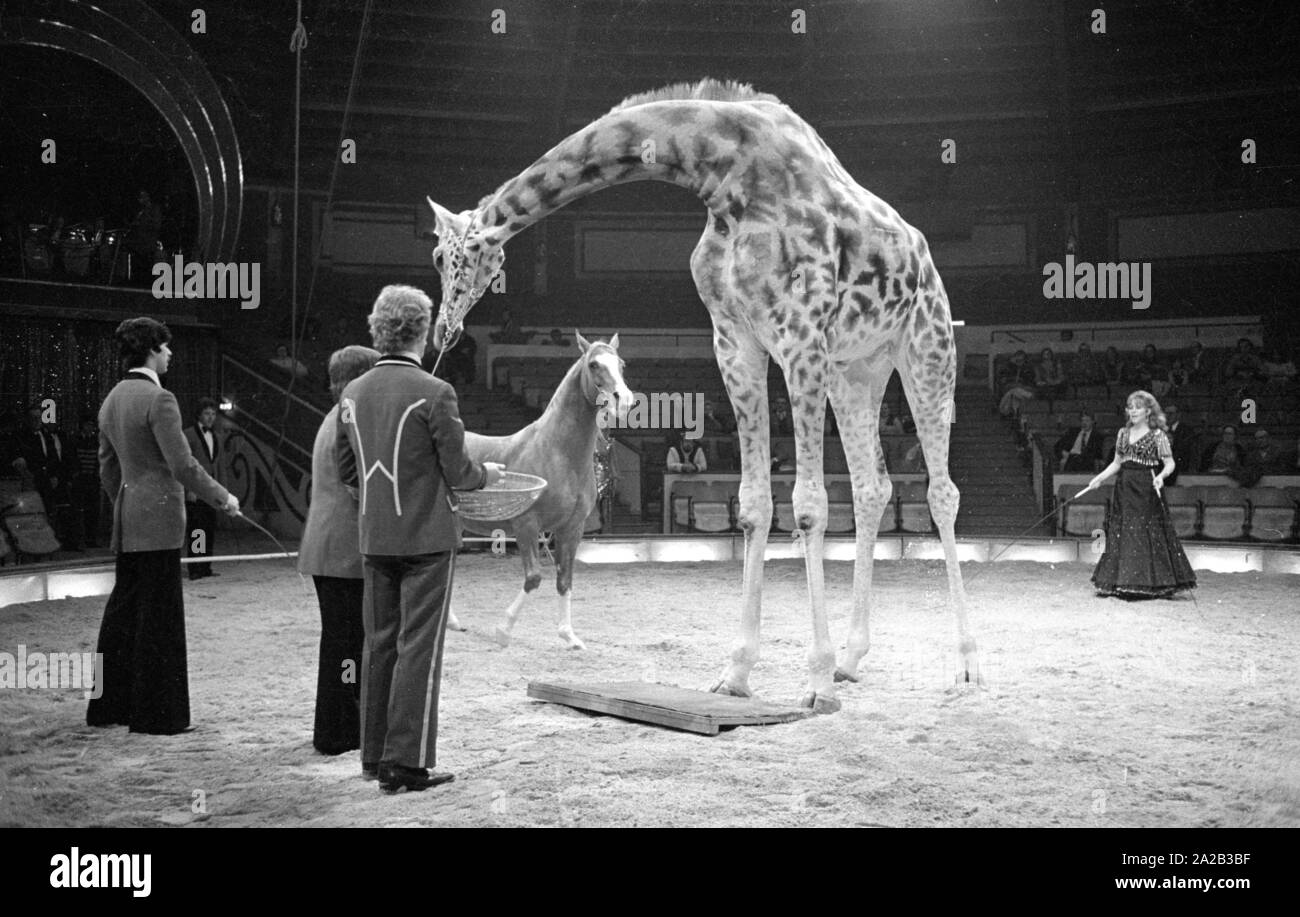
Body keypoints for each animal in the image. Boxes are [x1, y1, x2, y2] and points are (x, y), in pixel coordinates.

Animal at [456, 332, 633, 649]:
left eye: (621, 364)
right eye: (594, 364)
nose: (623, 400)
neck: (558, 452)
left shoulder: (571, 528)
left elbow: (565, 579)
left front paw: (569, 636)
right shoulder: (527, 525)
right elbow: (534, 578)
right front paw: (503, 631)